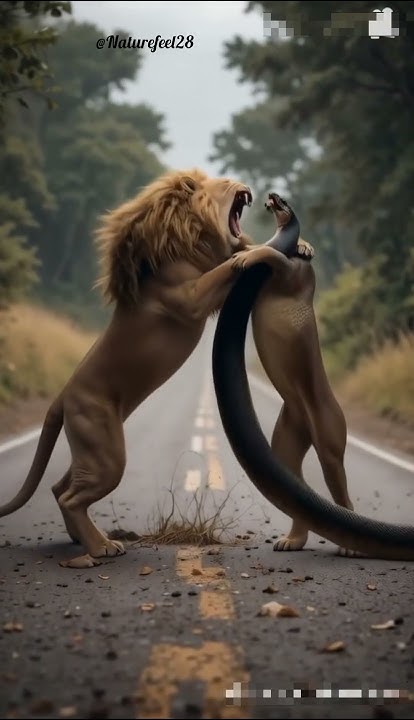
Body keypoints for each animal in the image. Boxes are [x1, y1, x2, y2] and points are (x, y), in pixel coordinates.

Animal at [0, 167, 266, 568]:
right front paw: (256, 253)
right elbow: (223, 269)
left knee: (60, 487)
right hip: (107, 453)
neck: (188, 239)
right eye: (223, 183)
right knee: (70, 497)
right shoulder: (190, 297)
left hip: (94, 447)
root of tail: (61, 397)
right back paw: (100, 548)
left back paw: (83, 539)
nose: (245, 186)